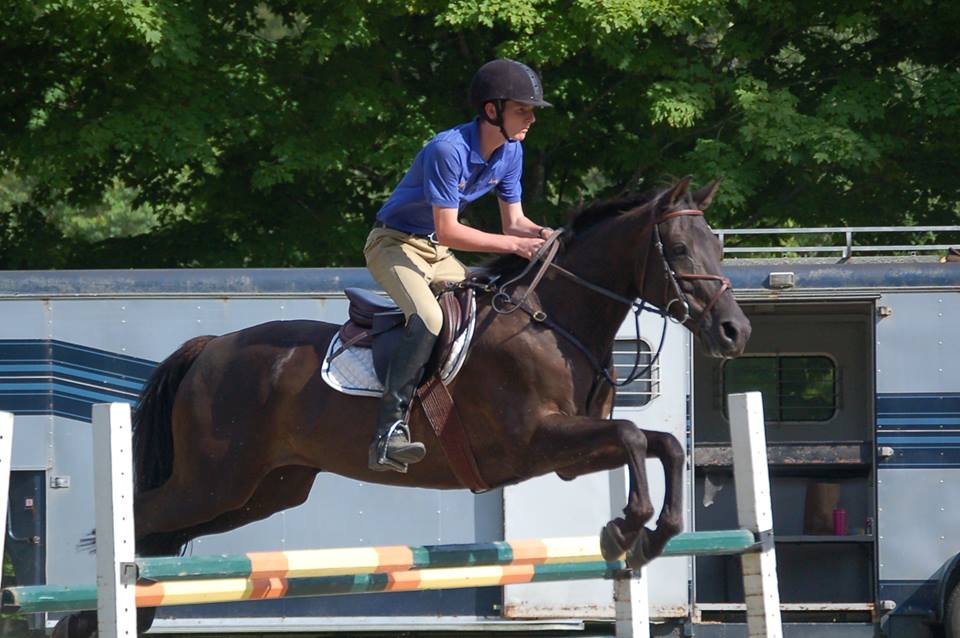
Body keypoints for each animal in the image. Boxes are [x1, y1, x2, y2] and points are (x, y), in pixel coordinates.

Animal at [52, 177, 750, 637]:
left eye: (719, 250)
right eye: (680, 252)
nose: (734, 331)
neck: (553, 320)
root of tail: (209, 348)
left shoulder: (570, 450)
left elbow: (661, 442)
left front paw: (652, 533)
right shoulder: (536, 439)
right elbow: (634, 435)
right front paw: (626, 527)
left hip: (260, 493)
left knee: (161, 536)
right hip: (214, 480)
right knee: (139, 521)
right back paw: (79, 616)